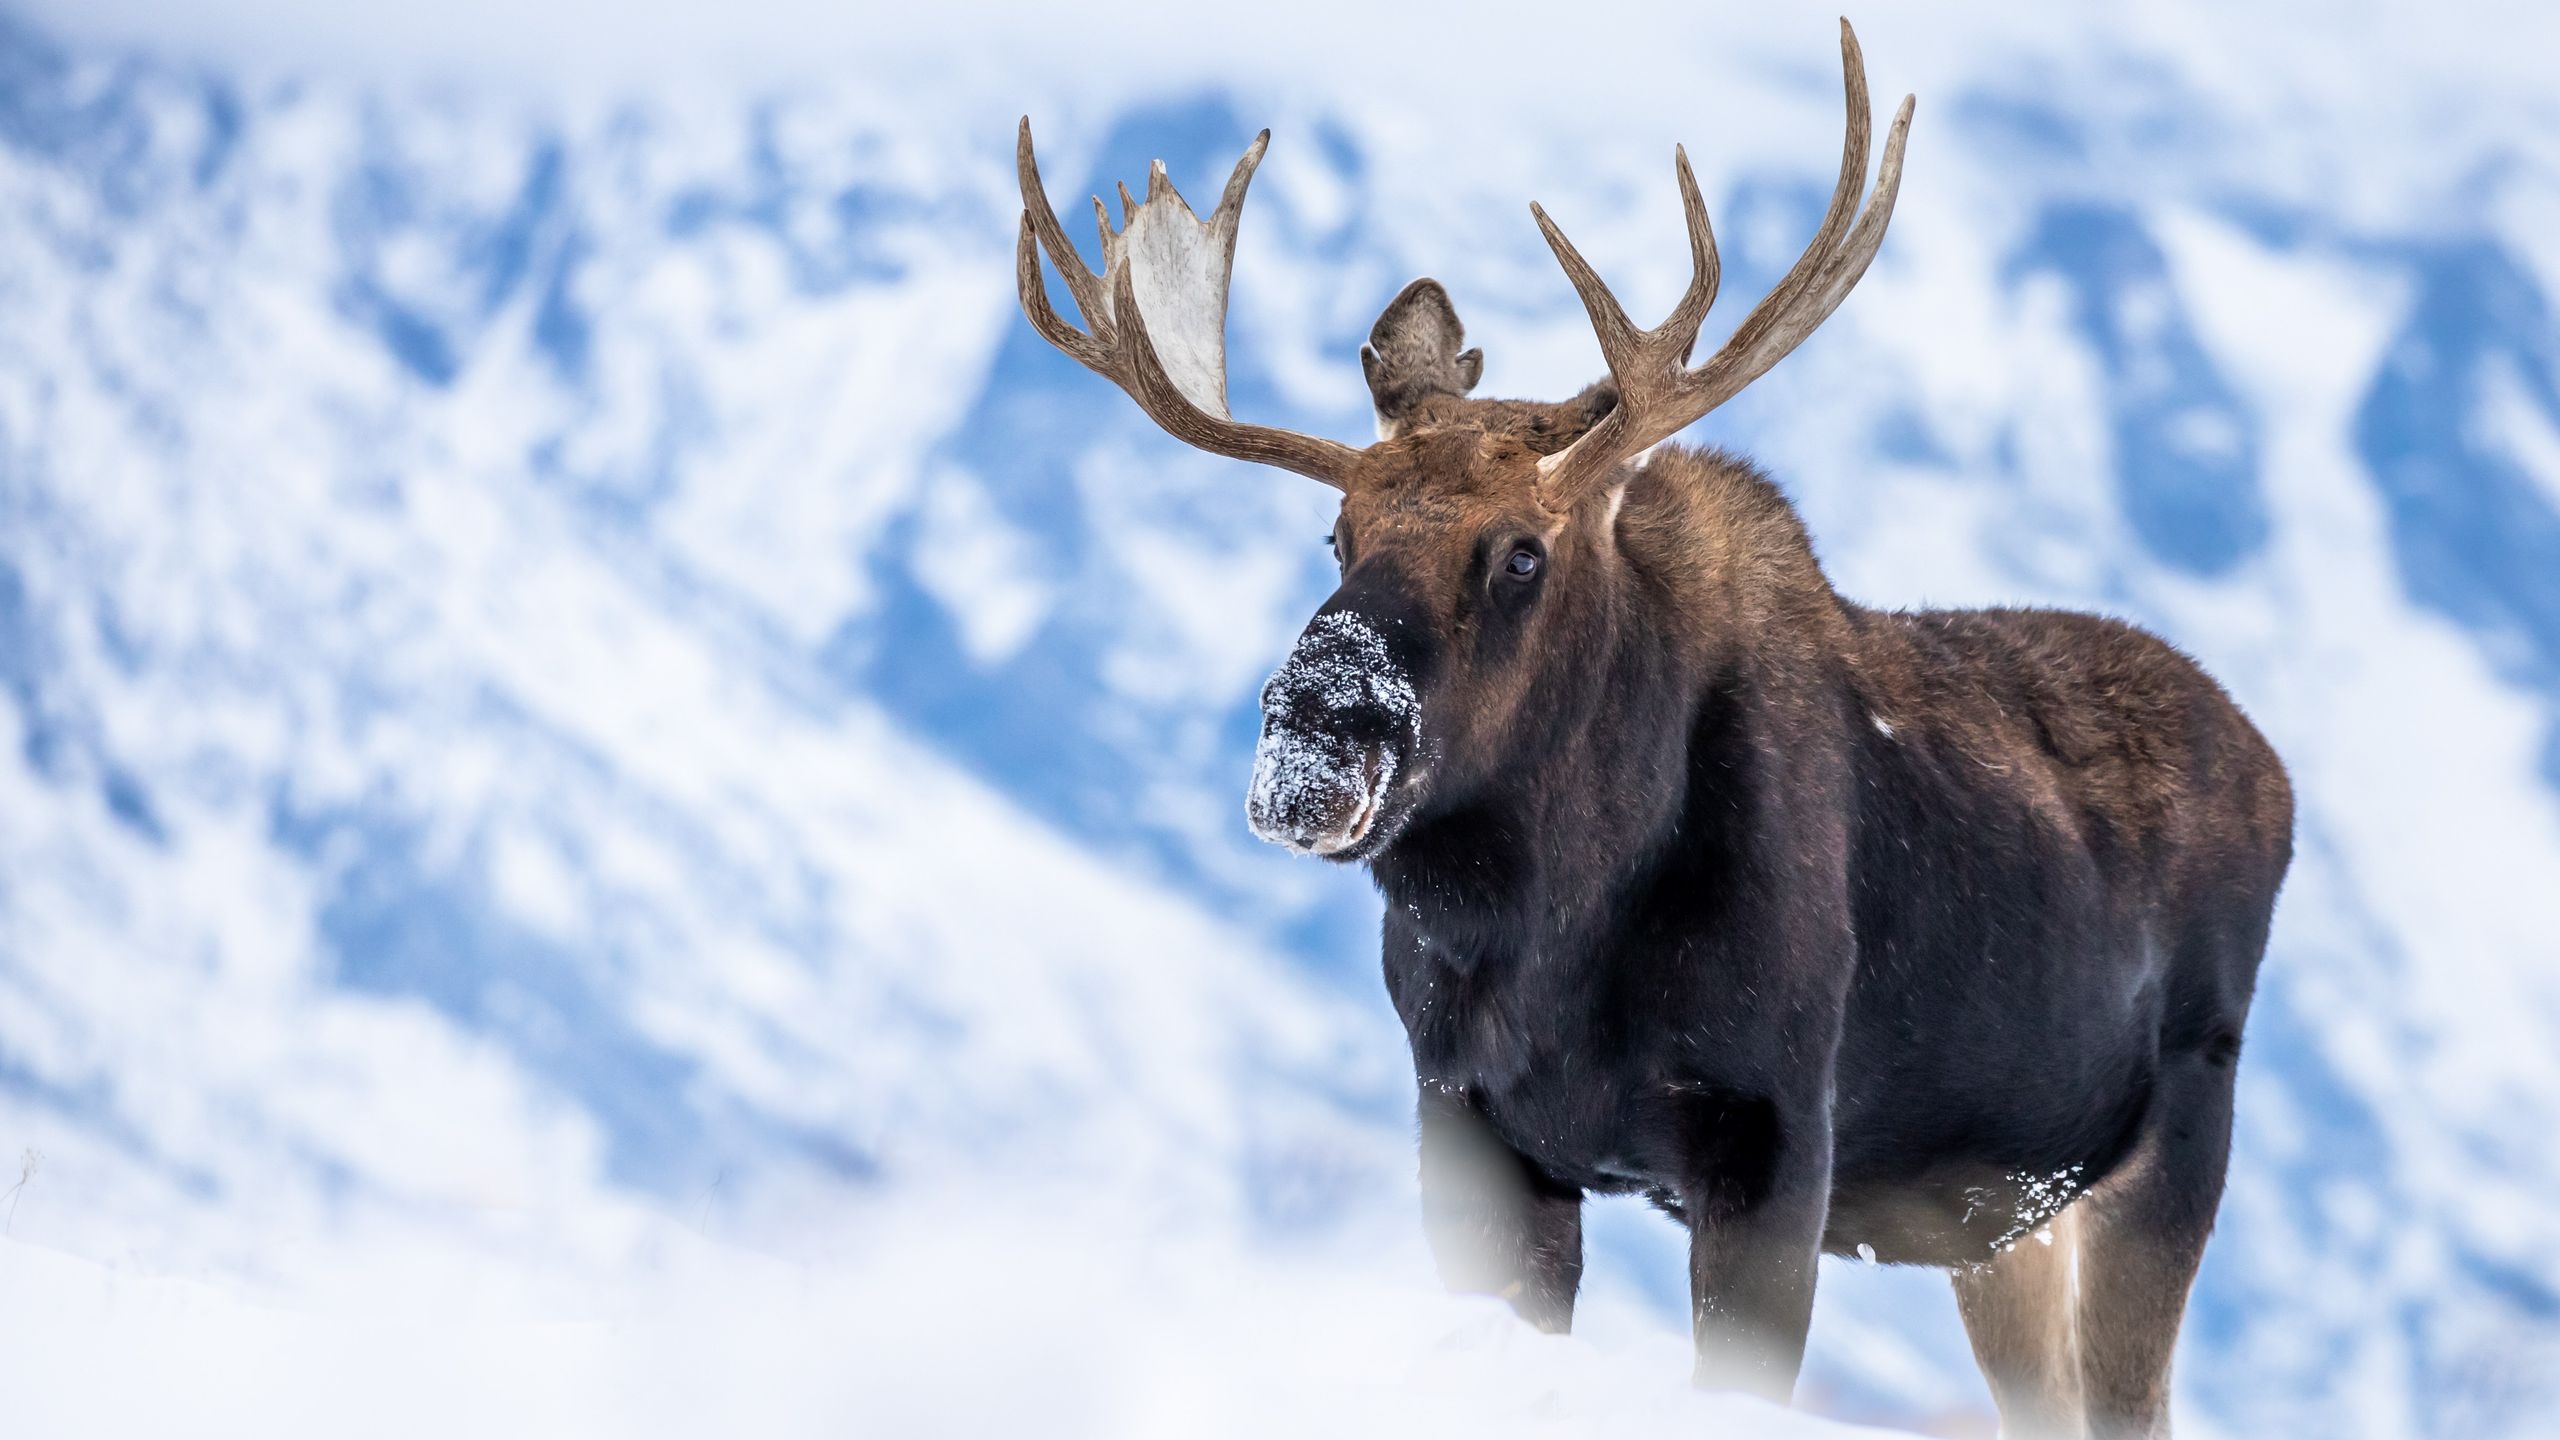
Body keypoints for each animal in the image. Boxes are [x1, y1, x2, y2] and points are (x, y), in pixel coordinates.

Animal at [1014, 21, 2292, 1439]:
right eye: (1337, 536)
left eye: (1520, 553)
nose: (1316, 741)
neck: (1547, 930)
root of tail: (2275, 770)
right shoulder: (1468, 1123)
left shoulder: (1771, 1140)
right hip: (1995, 1226)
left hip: (2169, 1146)